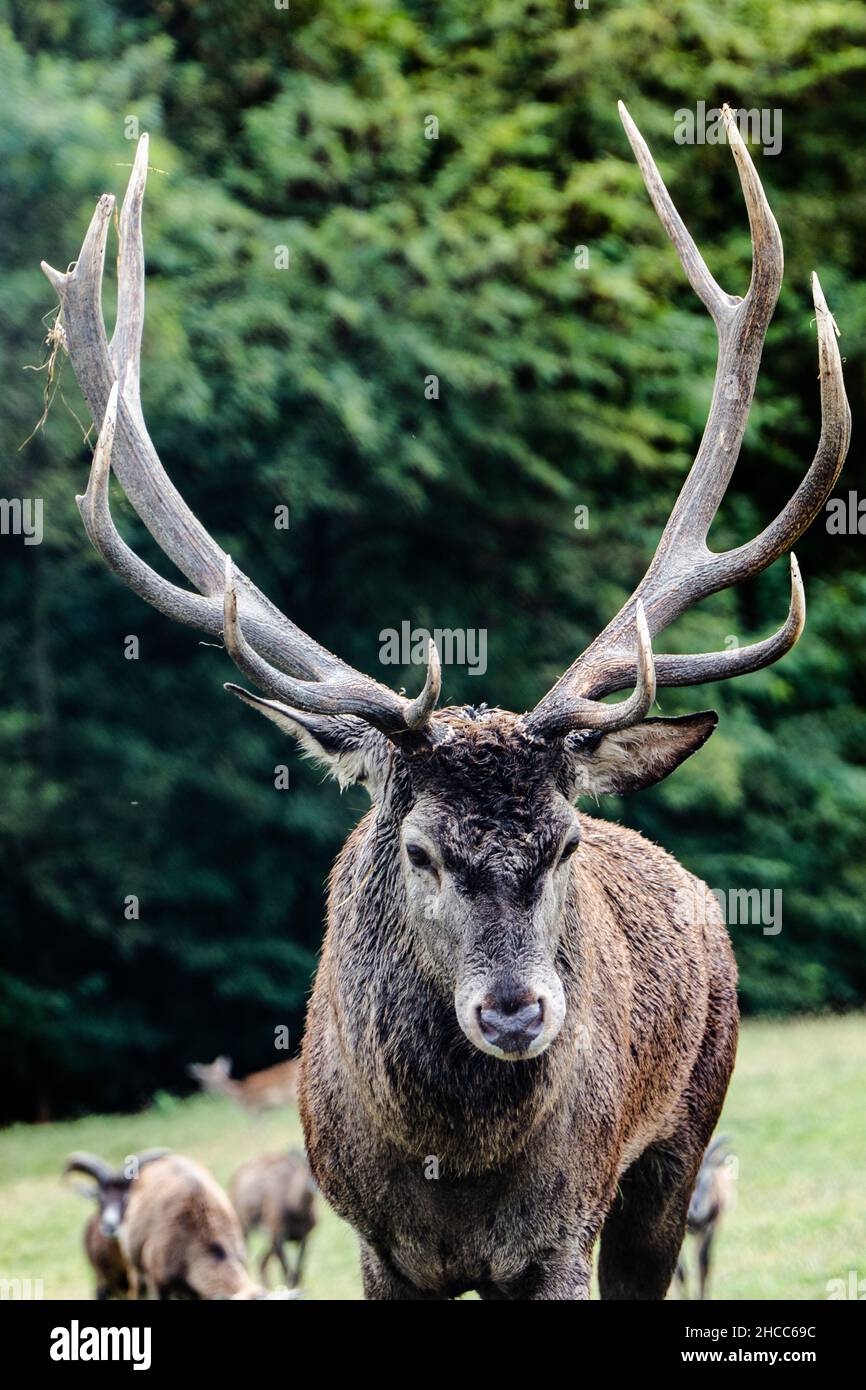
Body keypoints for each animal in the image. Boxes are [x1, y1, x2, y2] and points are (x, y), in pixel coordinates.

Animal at [42, 100, 849, 1299]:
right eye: (419, 848)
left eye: (564, 843)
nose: (517, 1008)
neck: (448, 1176)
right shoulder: (372, 1243)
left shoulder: (562, 1233)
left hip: (678, 1149)